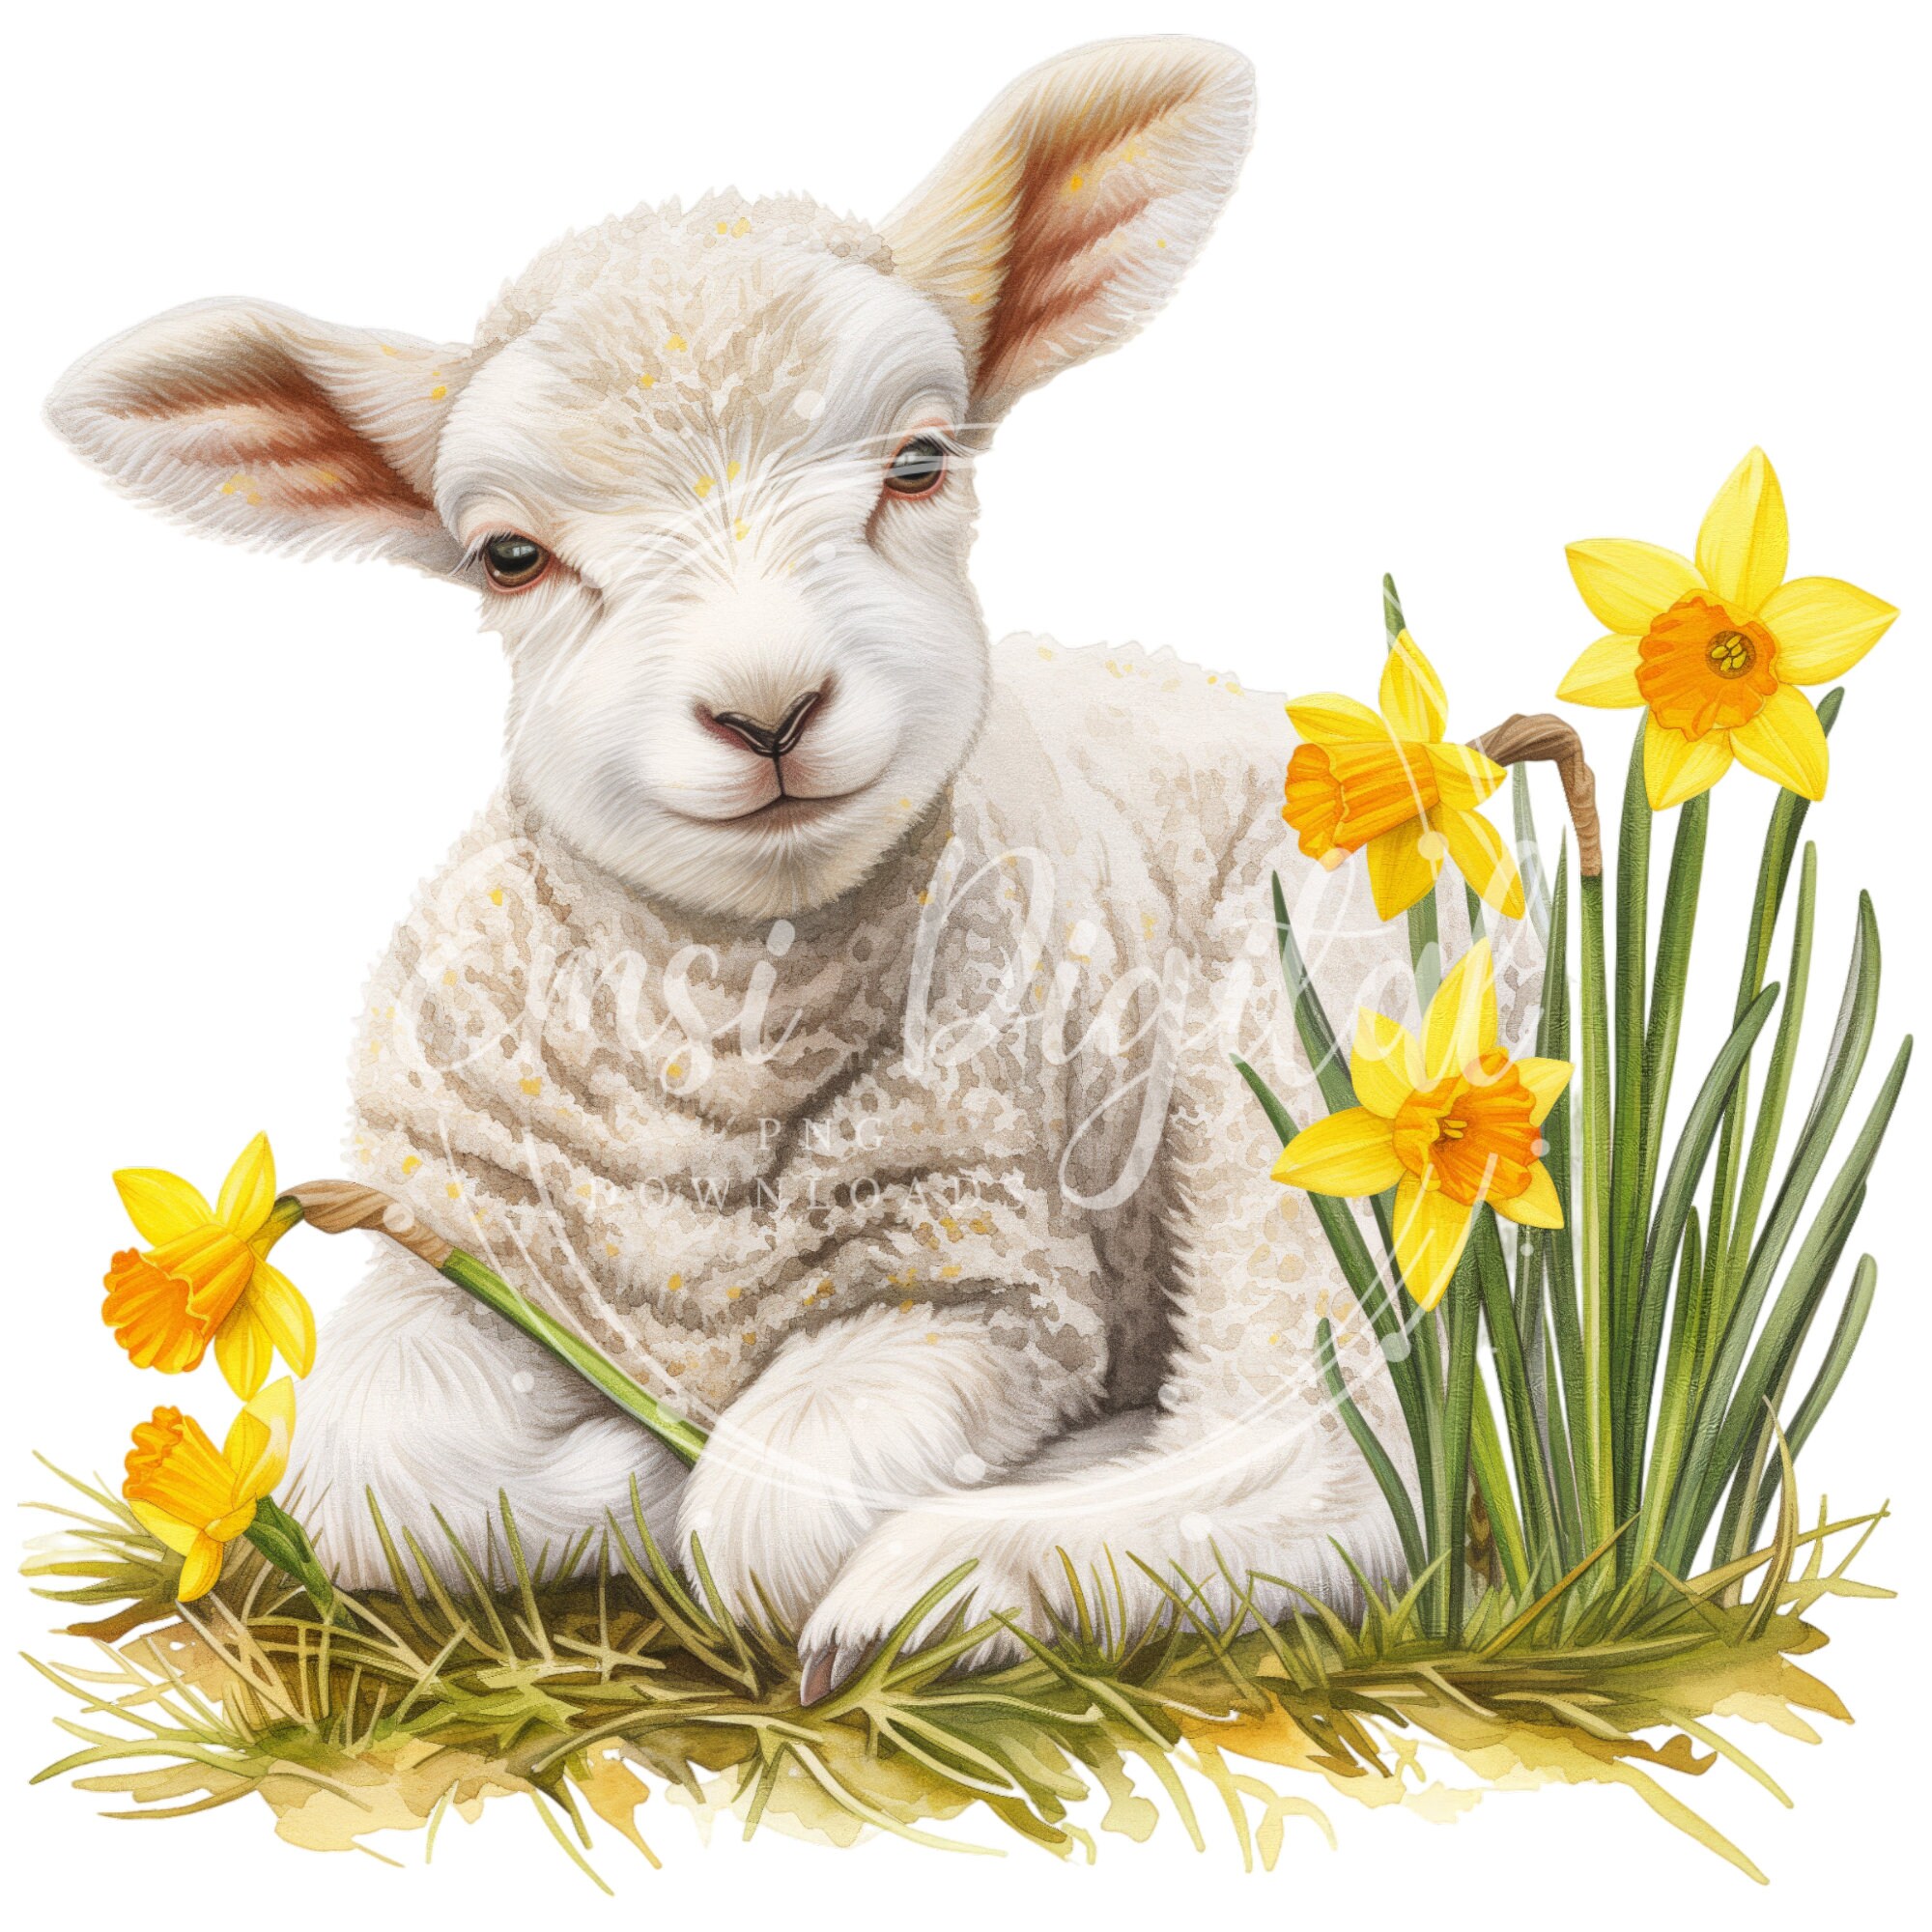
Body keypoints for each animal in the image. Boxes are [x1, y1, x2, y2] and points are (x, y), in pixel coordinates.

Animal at [47, 35, 1537, 1697]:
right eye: (509, 557)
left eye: (920, 463)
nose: (768, 709)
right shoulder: (450, 1249)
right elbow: (367, 1471)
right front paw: (608, 1471)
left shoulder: (989, 1281)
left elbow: (766, 1509)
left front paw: (679, 1486)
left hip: (1338, 1041)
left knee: (1332, 1452)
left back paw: (977, 1566)